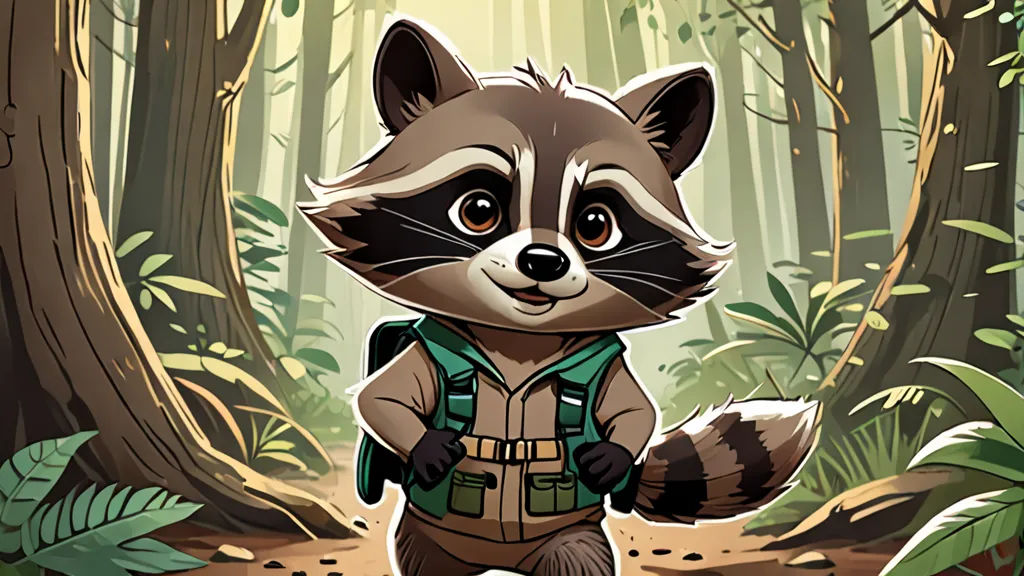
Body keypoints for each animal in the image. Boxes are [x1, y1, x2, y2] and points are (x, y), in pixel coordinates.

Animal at [300, 17, 817, 576]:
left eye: (595, 224)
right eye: (478, 210)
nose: (544, 261)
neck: (519, 344)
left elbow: (636, 412)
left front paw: (614, 454)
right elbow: (380, 400)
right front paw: (427, 445)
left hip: (568, 536)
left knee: (575, 557)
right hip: (433, 536)